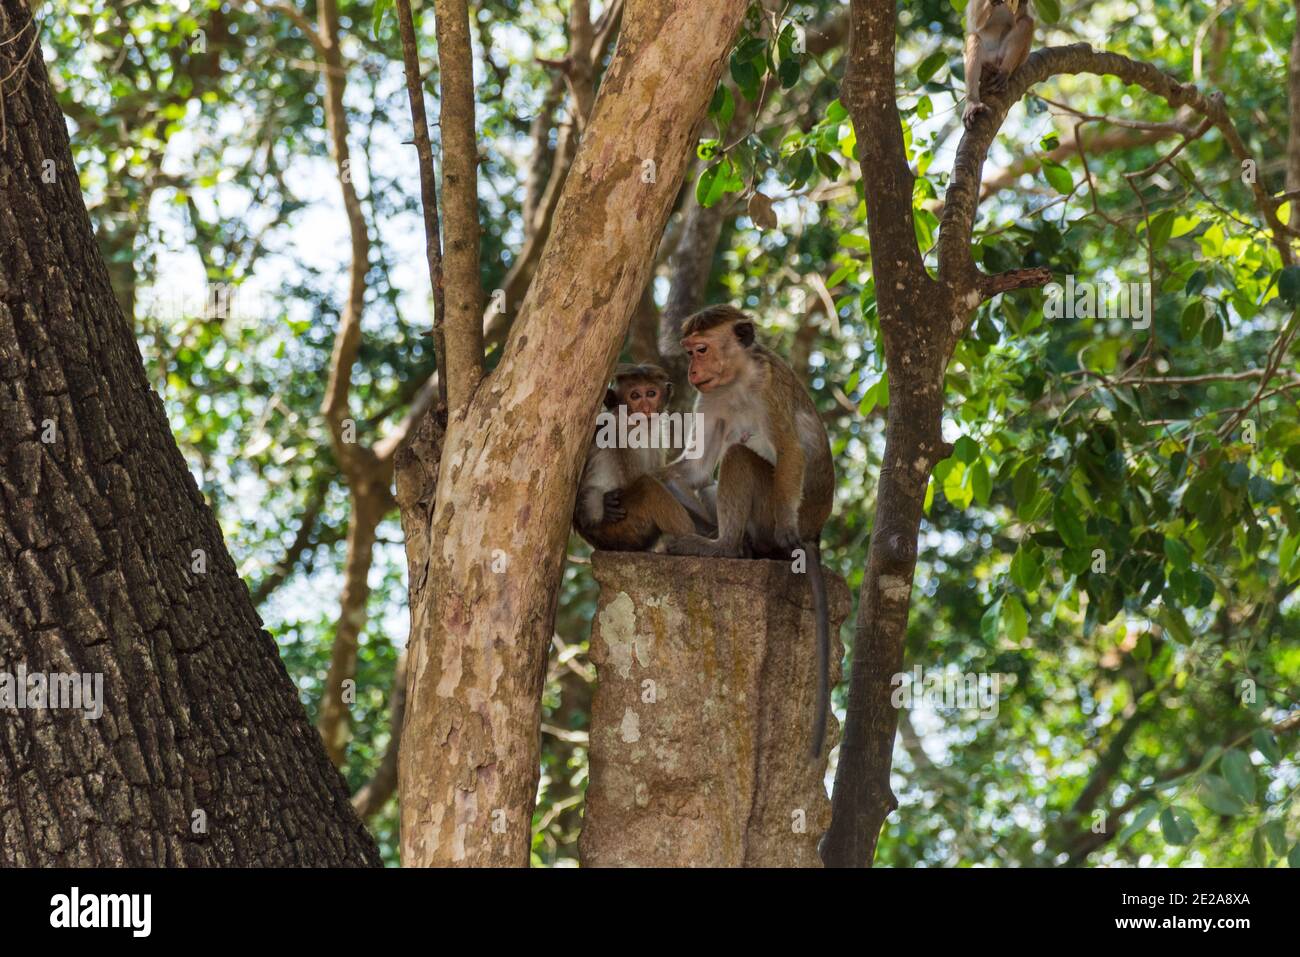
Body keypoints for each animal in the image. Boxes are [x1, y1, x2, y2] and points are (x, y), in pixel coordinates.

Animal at [574, 364, 708, 552]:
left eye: (651, 393)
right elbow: (636, 478)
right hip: (620, 532)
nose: (645, 409)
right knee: (647, 486)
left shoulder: (658, 434)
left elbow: (661, 473)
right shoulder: (619, 434)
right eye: (635, 396)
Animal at [658, 305, 835, 757]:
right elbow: (698, 471)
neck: (735, 380)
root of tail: (817, 532)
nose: (692, 369)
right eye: (689, 351)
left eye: (701, 349)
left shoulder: (767, 383)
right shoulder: (709, 396)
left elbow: (790, 449)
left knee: (740, 456)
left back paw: (723, 547)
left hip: (770, 510)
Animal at [962, 0, 1035, 129]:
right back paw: (973, 103)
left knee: (1027, 22)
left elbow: (1018, 18)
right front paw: (991, 2)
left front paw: (1022, 3)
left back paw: (1005, 72)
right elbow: (975, 22)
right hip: (985, 58)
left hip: (1014, 59)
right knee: (974, 38)